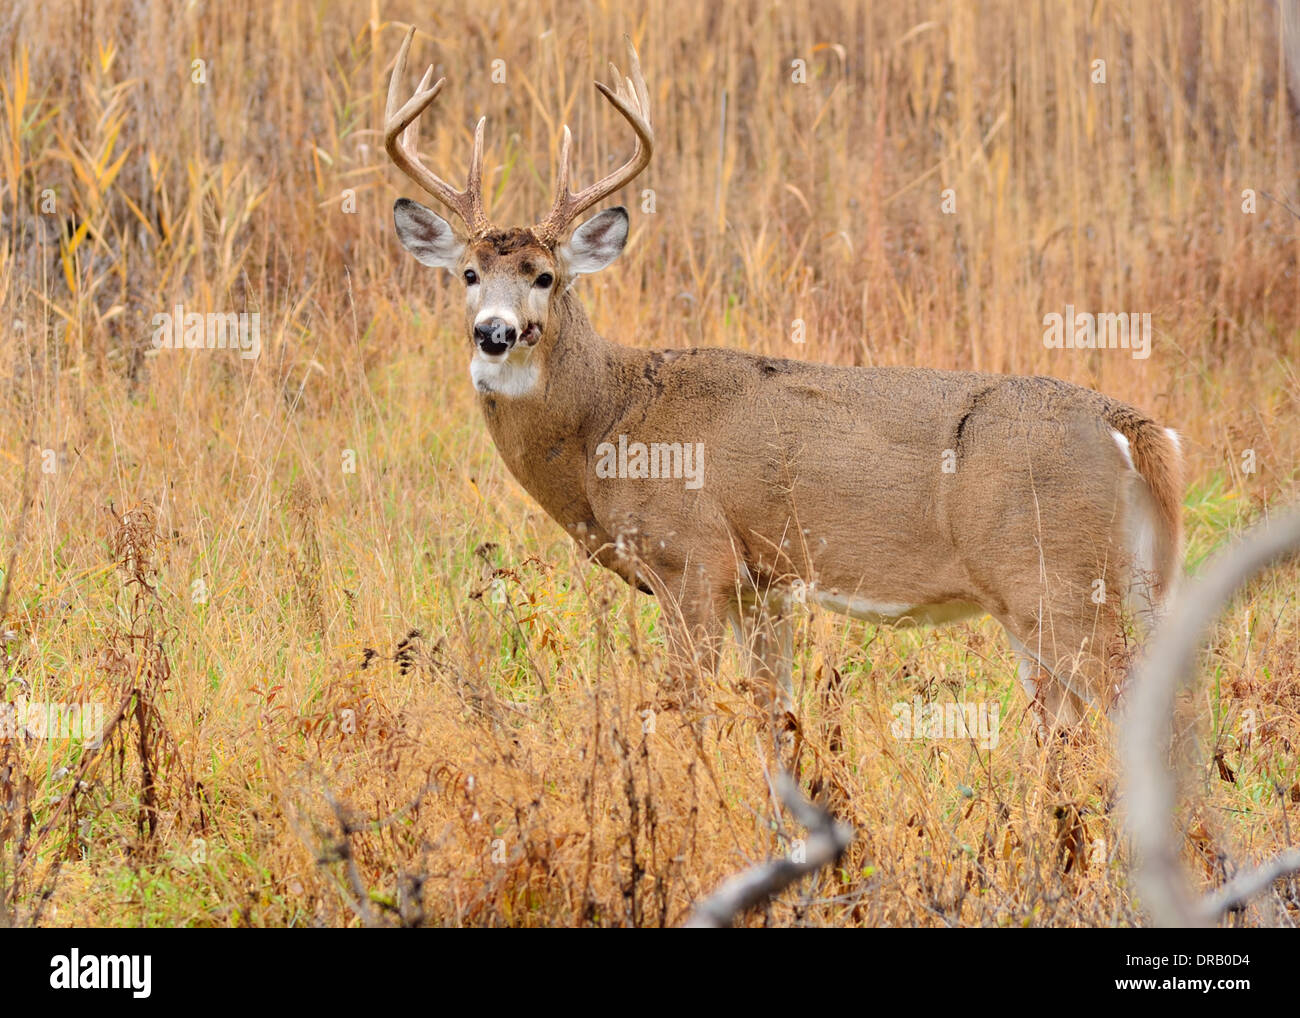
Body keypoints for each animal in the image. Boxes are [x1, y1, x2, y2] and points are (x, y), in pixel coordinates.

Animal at [384, 27, 1184, 737]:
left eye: (545, 277)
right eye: (467, 274)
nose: (495, 332)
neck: (609, 421)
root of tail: (1126, 423)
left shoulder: (693, 561)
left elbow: (685, 710)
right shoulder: (761, 589)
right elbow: (777, 716)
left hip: (1055, 580)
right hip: (1097, 589)